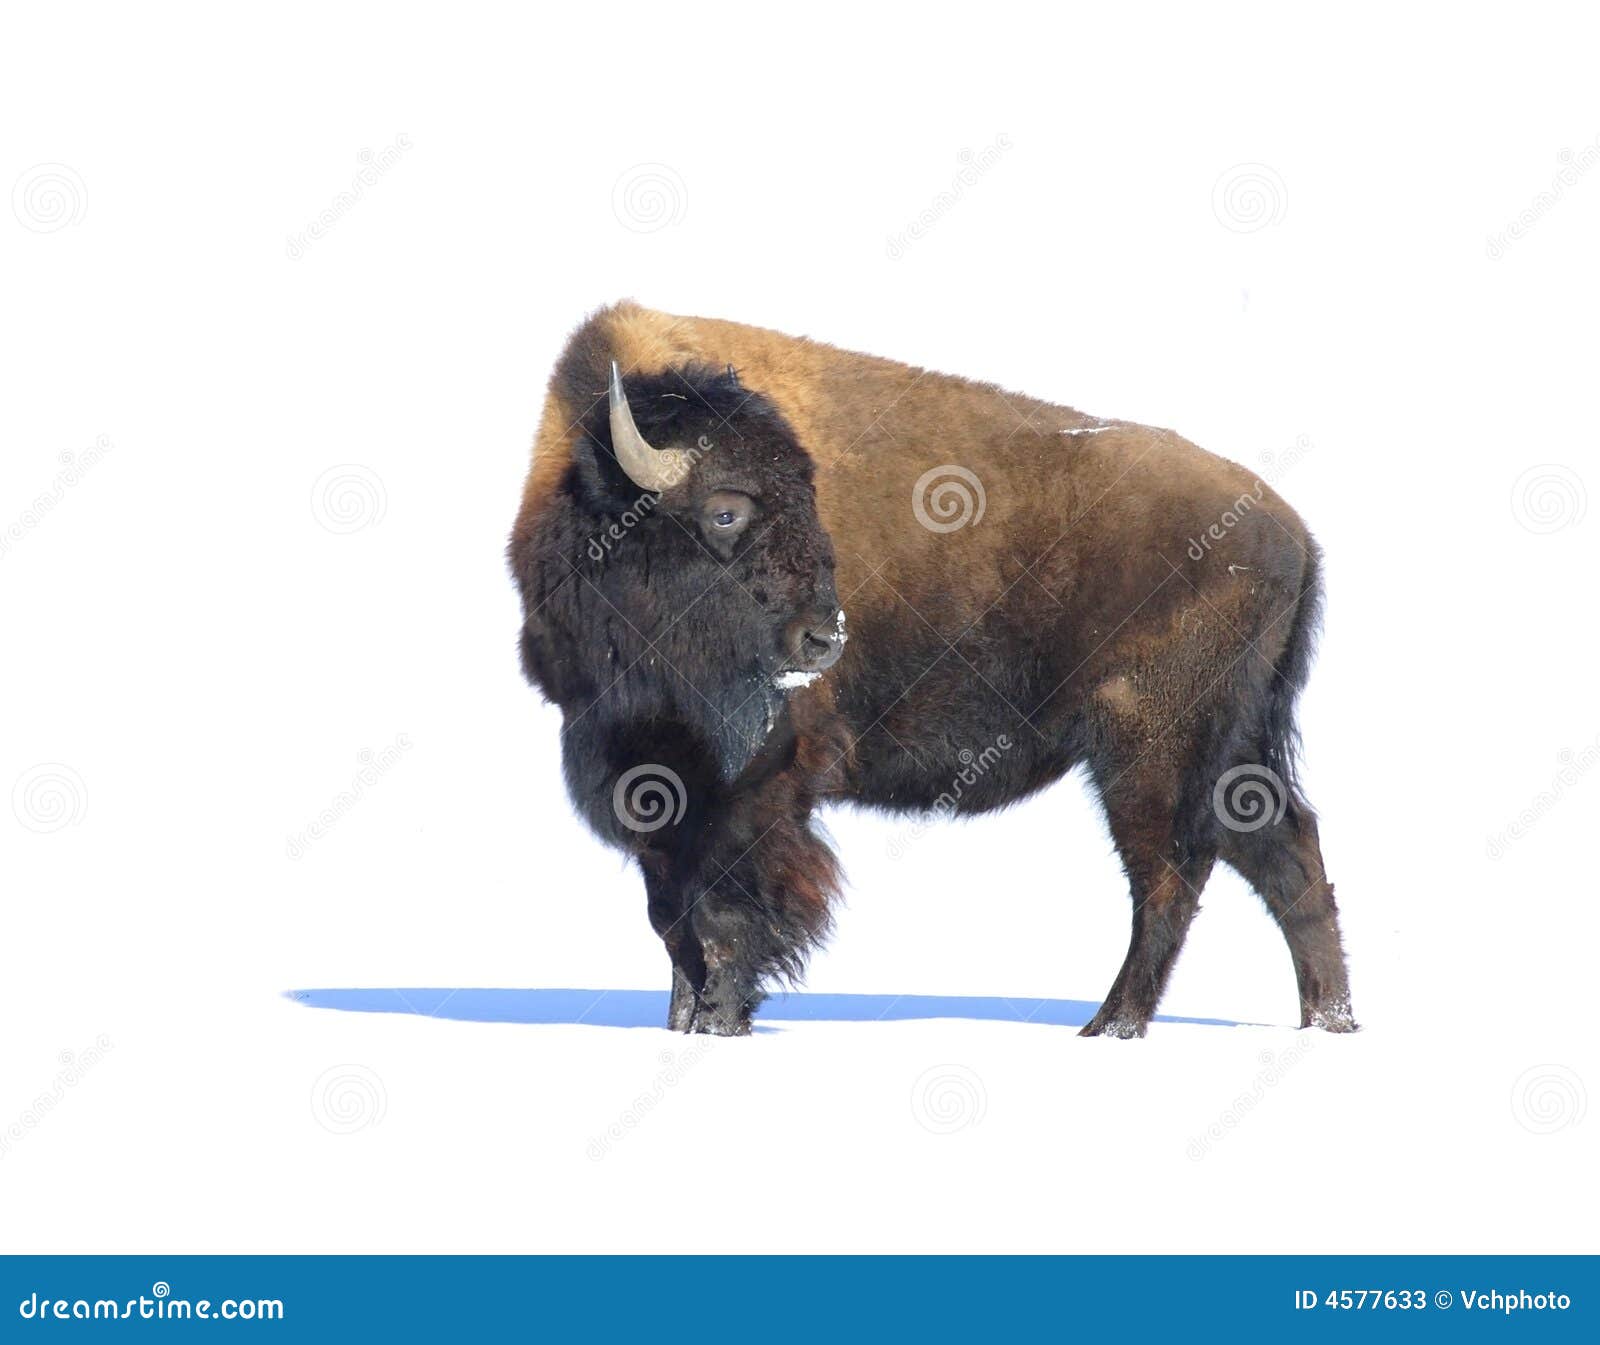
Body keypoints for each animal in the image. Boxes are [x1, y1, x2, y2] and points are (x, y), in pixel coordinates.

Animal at [508, 302, 1354, 1038]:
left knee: (1170, 880)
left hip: (1148, 753)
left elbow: (721, 922)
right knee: (1287, 855)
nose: (824, 638)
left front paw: (719, 1024)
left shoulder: (755, 789)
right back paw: (1328, 1019)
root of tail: (1294, 532)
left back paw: (1108, 1027)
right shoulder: (646, 781)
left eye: (807, 500)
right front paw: (683, 1025)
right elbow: (672, 922)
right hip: (1224, 750)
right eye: (725, 509)